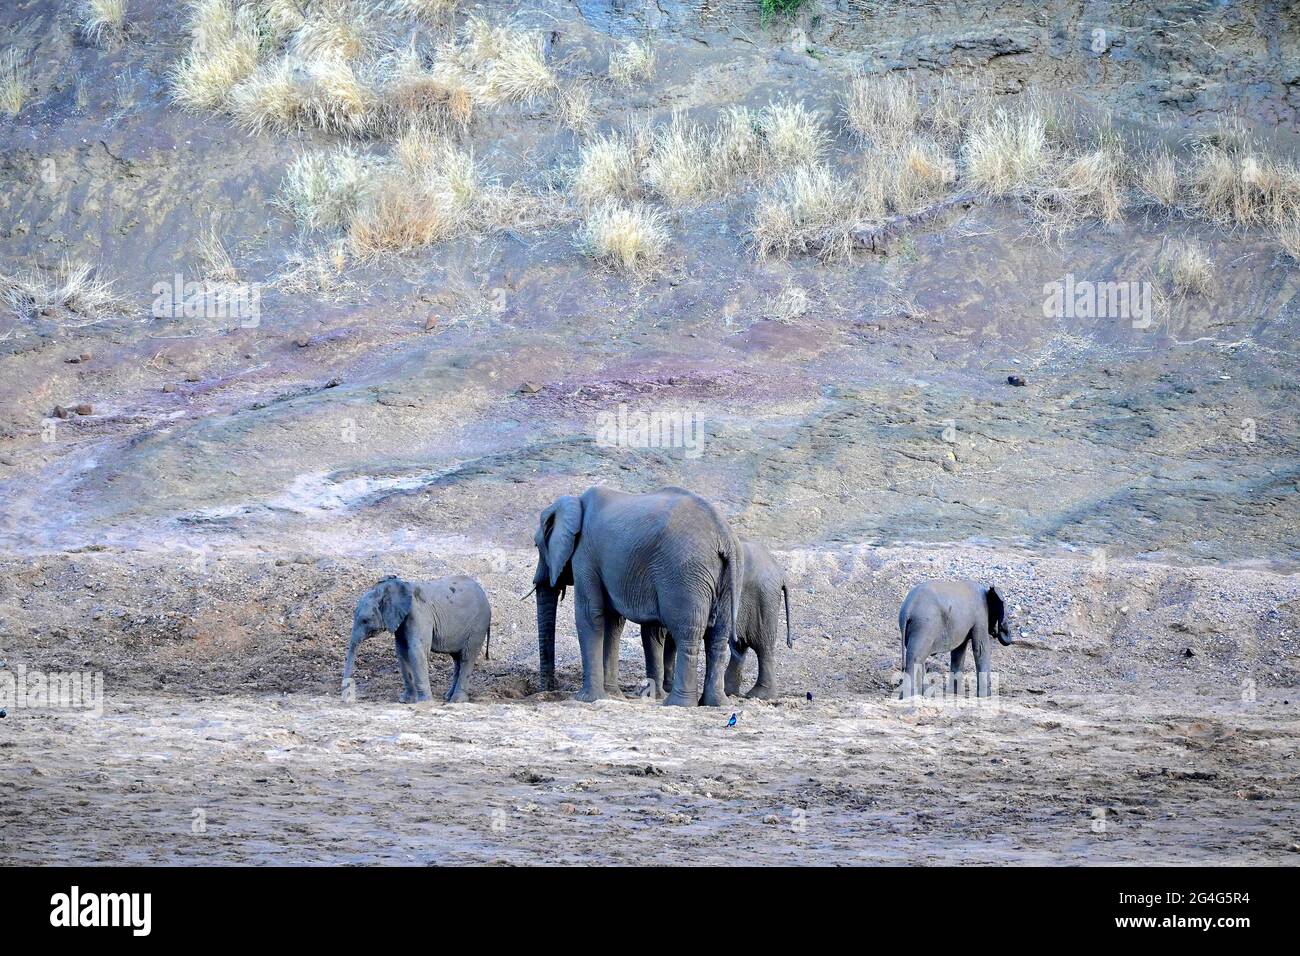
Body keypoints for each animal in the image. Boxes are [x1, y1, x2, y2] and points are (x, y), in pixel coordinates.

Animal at [342, 575, 491, 704]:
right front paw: (406, 701)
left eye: (365, 620)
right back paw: (448, 697)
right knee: (457, 660)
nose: (346, 699)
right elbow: (402, 652)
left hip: (478, 625)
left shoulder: (419, 613)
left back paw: (456, 700)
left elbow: (416, 651)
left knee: (467, 657)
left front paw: (425, 702)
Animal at [531, 486, 743, 706]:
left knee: (687, 632)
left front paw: (587, 699)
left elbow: (589, 615)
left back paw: (678, 704)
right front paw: (613, 695)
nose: (546, 691)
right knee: (718, 637)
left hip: (686, 573)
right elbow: (614, 623)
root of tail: (724, 534)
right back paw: (715, 703)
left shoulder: (585, 555)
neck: (576, 502)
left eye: (537, 546)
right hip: (727, 577)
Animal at [643, 540, 791, 701]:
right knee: (741, 646)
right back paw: (730, 691)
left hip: (762, 602)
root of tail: (781, 573)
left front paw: (666, 689)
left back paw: (758, 695)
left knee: (762, 646)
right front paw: (667, 688)